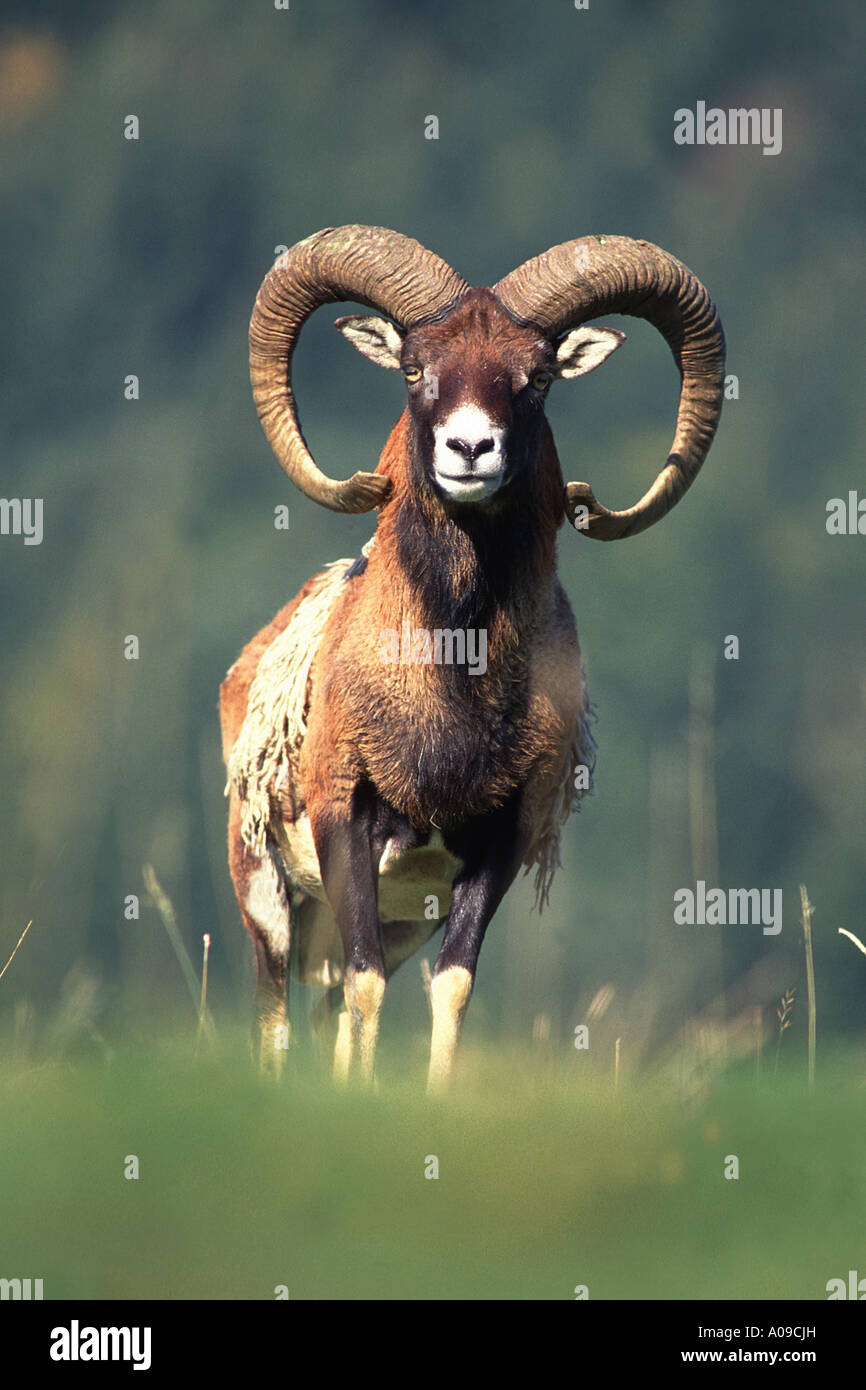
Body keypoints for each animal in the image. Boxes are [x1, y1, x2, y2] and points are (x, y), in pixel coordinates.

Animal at [220, 225, 725, 1089]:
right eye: (414, 368)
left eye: (537, 378)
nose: (469, 447)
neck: (450, 686)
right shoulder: (345, 818)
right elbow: (366, 988)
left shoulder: (496, 844)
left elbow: (448, 988)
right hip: (268, 899)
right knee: (280, 1014)